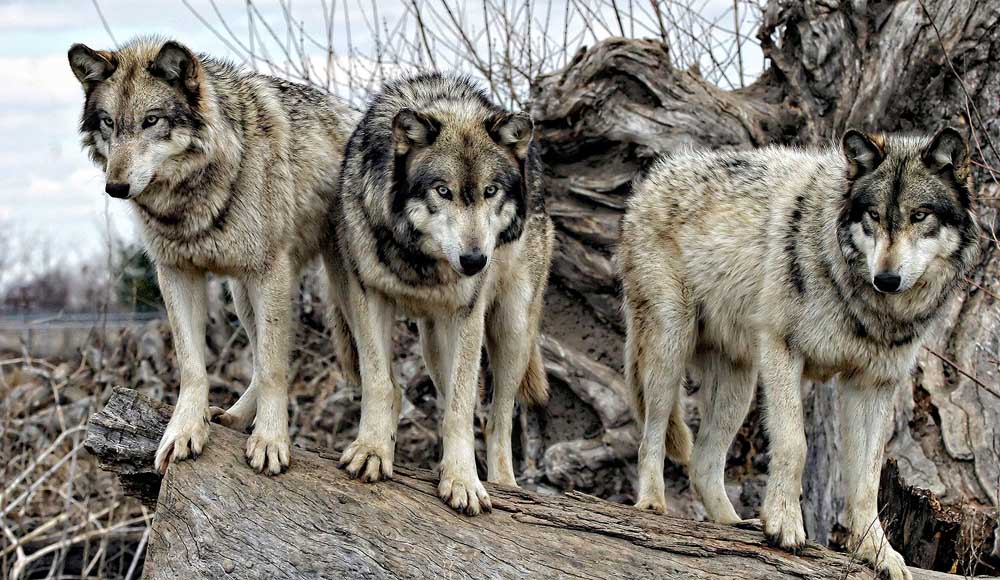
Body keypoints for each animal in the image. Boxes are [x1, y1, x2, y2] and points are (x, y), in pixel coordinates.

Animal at [68, 37, 357, 476]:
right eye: (107, 123)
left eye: (151, 121)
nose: (115, 187)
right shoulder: (176, 273)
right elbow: (193, 367)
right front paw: (186, 431)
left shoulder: (268, 273)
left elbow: (273, 369)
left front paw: (270, 441)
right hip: (242, 296)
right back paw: (234, 418)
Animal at [325, 74, 554, 515]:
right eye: (443, 191)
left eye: (490, 191)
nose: (474, 261)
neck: (420, 261)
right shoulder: (368, 296)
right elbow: (380, 383)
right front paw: (373, 449)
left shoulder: (467, 314)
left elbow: (462, 411)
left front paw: (462, 479)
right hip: (427, 340)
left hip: (511, 330)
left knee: (495, 419)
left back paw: (504, 484)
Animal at [620, 128, 980, 579]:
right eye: (874, 216)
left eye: (919, 216)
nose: (886, 279)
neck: (863, 301)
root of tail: (652, 179)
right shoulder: (781, 350)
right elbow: (795, 445)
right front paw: (784, 526)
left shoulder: (873, 385)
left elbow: (867, 481)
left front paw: (878, 553)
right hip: (670, 352)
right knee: (650, 436)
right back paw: (652, 504)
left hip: (739, 385)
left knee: (703, 462)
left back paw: (733, 524)